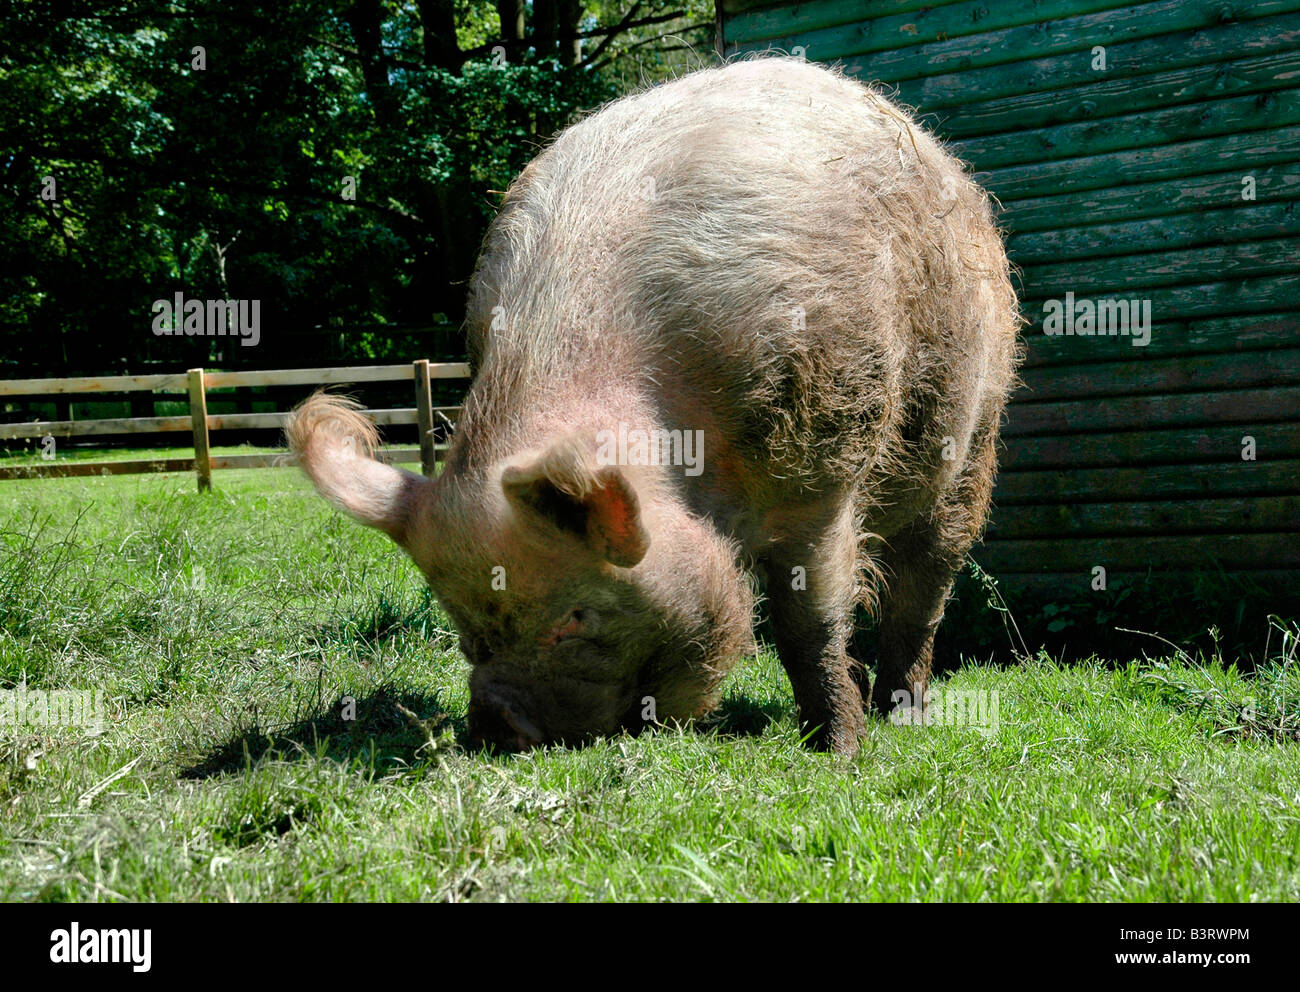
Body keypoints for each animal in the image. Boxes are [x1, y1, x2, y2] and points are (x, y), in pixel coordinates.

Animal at [287, 57, 1021, 756]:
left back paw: (902, 713)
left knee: (924, 583)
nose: (499, 724)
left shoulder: (823, 468)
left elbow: (808, 621)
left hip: (976, 427)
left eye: (576, 617)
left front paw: (837, 751)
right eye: (468, 632)